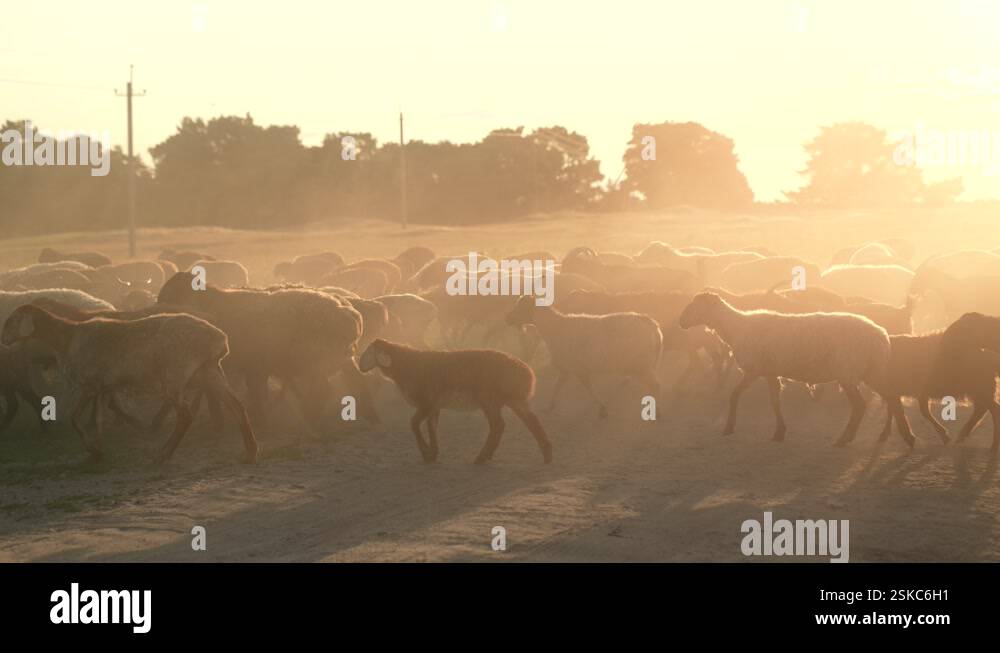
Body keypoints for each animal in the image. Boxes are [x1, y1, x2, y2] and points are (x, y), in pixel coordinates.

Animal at [1, 304, 258, 464]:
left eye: (11, 322)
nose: (2, 341)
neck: (67, 338)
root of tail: (219, 338)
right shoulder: (104, 387)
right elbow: (98, 420)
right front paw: (98, 451)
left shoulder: (89, 384)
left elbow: (75, 418)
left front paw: (93, 449)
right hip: (210, 372)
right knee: (238, 406)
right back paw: (250, 452)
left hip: (175, 376)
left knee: (185, 415)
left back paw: (162, 455)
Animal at [358, 338, 552, 464]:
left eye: (369, 351)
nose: (359, 365)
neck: (404, 365)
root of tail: (528, 373)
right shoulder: (434, 405)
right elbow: (432, 426)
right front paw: (433, 454)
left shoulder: (426, 403)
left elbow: (413, 424)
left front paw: (426, 453)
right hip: (514, 400)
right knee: (531, 421)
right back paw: (547, 454)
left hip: (490, 399)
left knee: (498, 425)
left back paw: (481, 458)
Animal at [505, 296, 663, 419]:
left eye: (521, 308)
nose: (507, 319)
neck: (555, 328)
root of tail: (652, 325)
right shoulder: (569, 368)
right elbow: (558, 387)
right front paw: (550, 406)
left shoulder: (578, 369)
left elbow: (588, 389)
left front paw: (602, 409)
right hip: (642, 365)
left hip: (642, 364)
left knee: (655, 385)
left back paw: (656, 411)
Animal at [677, 292, 905, 446]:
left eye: (696, 305)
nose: (680, 322)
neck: (735, 327)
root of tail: (881, 336)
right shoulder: (770, 371)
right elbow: (775, 401)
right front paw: (780, 432)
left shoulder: (753, 370)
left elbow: (734, 395)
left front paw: (728, 427)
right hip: (871, 371)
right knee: (891, 399)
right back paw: (889, 435)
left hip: (848, 371)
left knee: (861, 406)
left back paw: (844, 438)